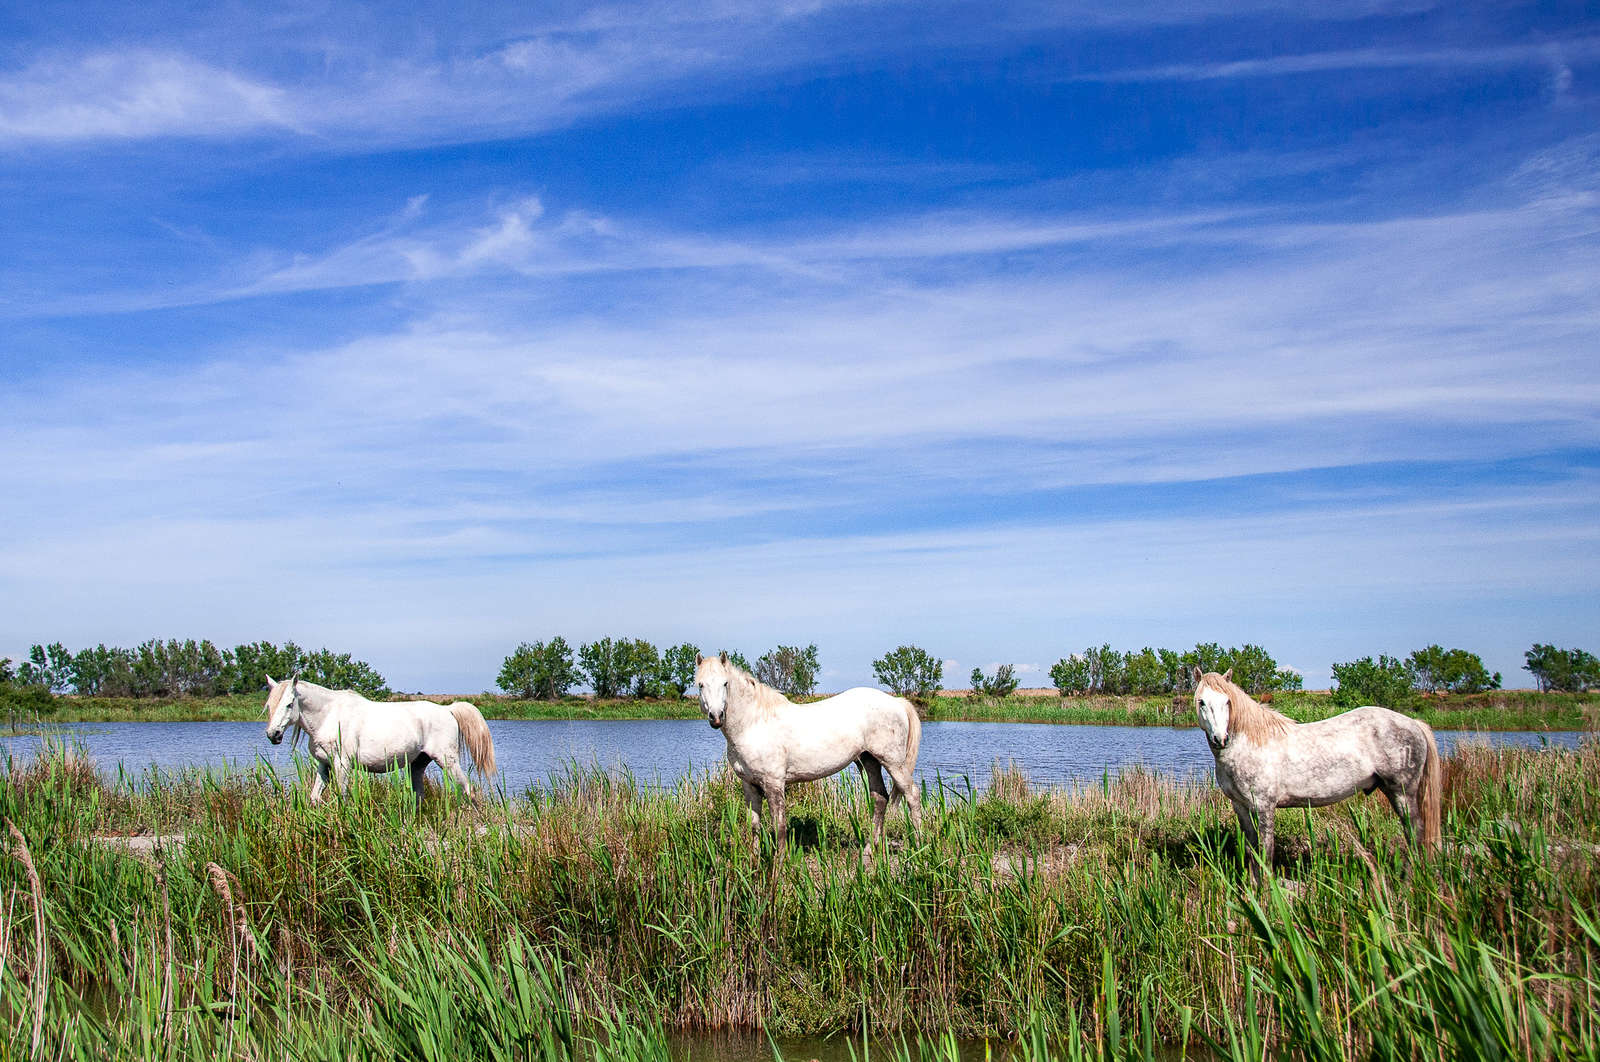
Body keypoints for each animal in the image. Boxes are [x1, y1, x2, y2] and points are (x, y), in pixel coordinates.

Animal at [263, 676, 497, 803]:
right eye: (270, 705)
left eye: (289, 704)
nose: (273, 735)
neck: (329, 715)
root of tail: (447, 709)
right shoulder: (324, 765)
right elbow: (314, 797)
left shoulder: (342, 765)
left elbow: (342, 798)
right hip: (418, 764)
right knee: (419, 797)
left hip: (448, 761)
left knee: (468, 790)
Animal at [694, 651, 923, 853]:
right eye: (700, 685)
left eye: (725, 683)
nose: (716, 716)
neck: (754, 724)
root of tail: (897, 702)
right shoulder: (749, 785)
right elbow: (754, 826)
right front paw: (755, 861)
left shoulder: (774, 783)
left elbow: (779, 827)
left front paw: (779, 865)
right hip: (870, 760)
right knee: (880, 798)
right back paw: (869, 848)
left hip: (894, 762)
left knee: (912, 795)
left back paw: (920, 847)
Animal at [1193, 667, 1440, 873]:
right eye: (1202, 702)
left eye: (1227, 701)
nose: (1220, 739)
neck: (1249, 743)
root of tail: (1414, 723)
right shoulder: (1241, 806)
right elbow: (1252, 851)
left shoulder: (1264, 806)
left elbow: (1266, 852)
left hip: (1403, 793)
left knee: (1415, 833)